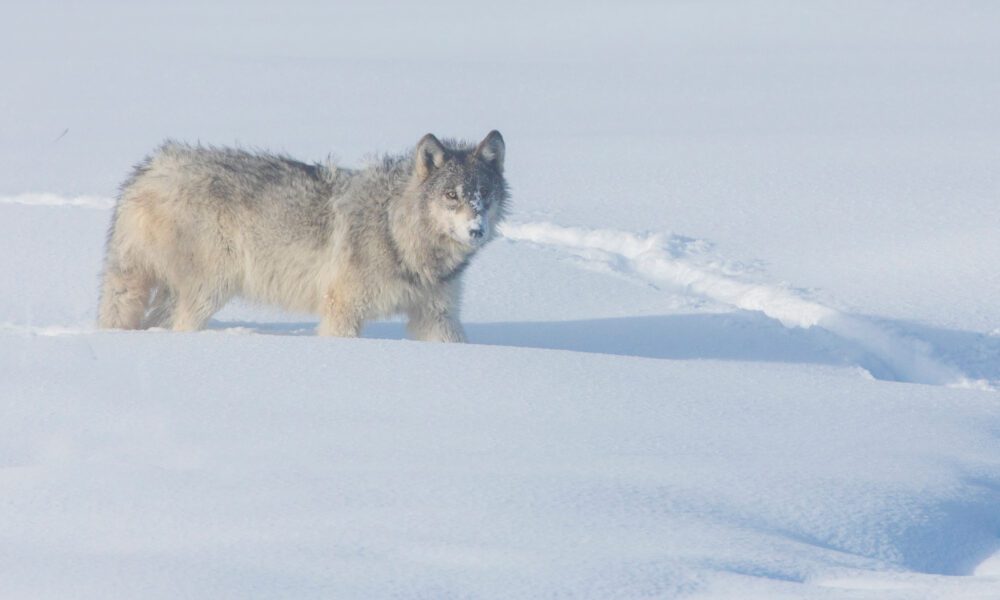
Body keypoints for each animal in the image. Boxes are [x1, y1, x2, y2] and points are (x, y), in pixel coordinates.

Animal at [97, 131, 508, 342]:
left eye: (483, 194)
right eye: (451, 195)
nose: (476, 230)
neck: (397, 234)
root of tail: (150, 171)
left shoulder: (437, 317)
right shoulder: (342, 311)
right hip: (208, 292)